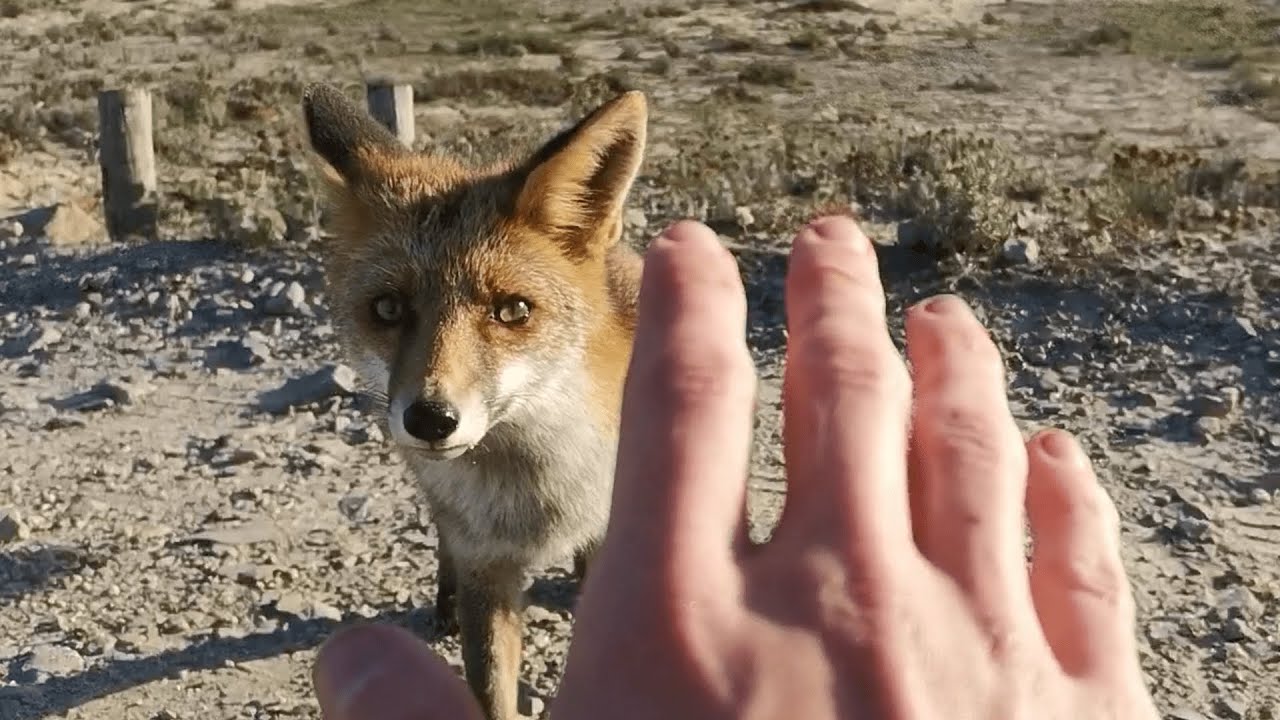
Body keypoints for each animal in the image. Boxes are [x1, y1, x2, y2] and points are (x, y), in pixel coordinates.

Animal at [298, 81, 648, 720]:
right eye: (388, 309)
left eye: (513, 311)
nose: (430, 419)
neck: (536, 493)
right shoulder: (487, 567)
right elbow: (490, 691)